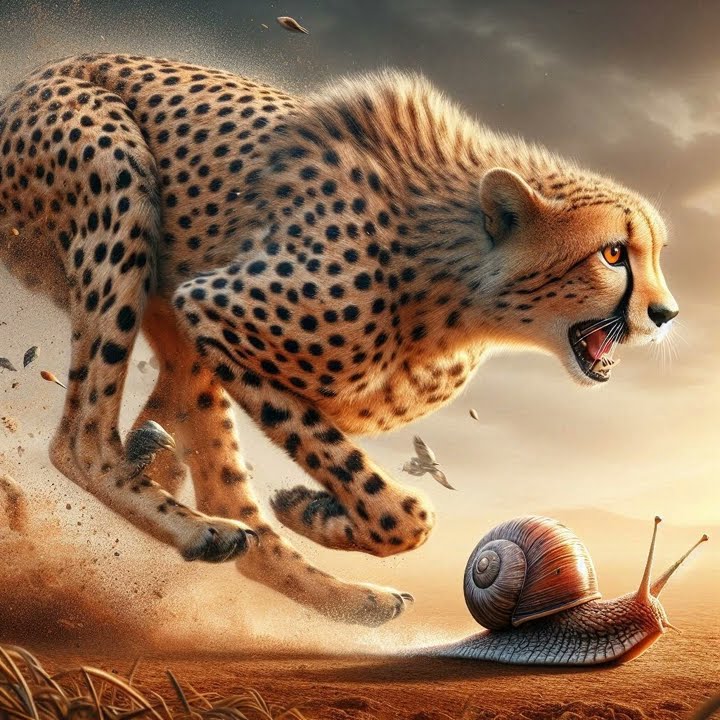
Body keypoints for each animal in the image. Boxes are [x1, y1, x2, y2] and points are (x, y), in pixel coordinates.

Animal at [0, 54, 678, 626]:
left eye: (656, 252)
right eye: (613, 253)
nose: (667, 313)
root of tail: (37, 75)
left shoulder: (206, 329)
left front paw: (310, 509)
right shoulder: (214, 310)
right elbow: (400, 505)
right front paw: (314, 506)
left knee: (216, 486)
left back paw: (343, 594)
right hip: (121, 184)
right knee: (80, 439)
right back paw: (199, 527)